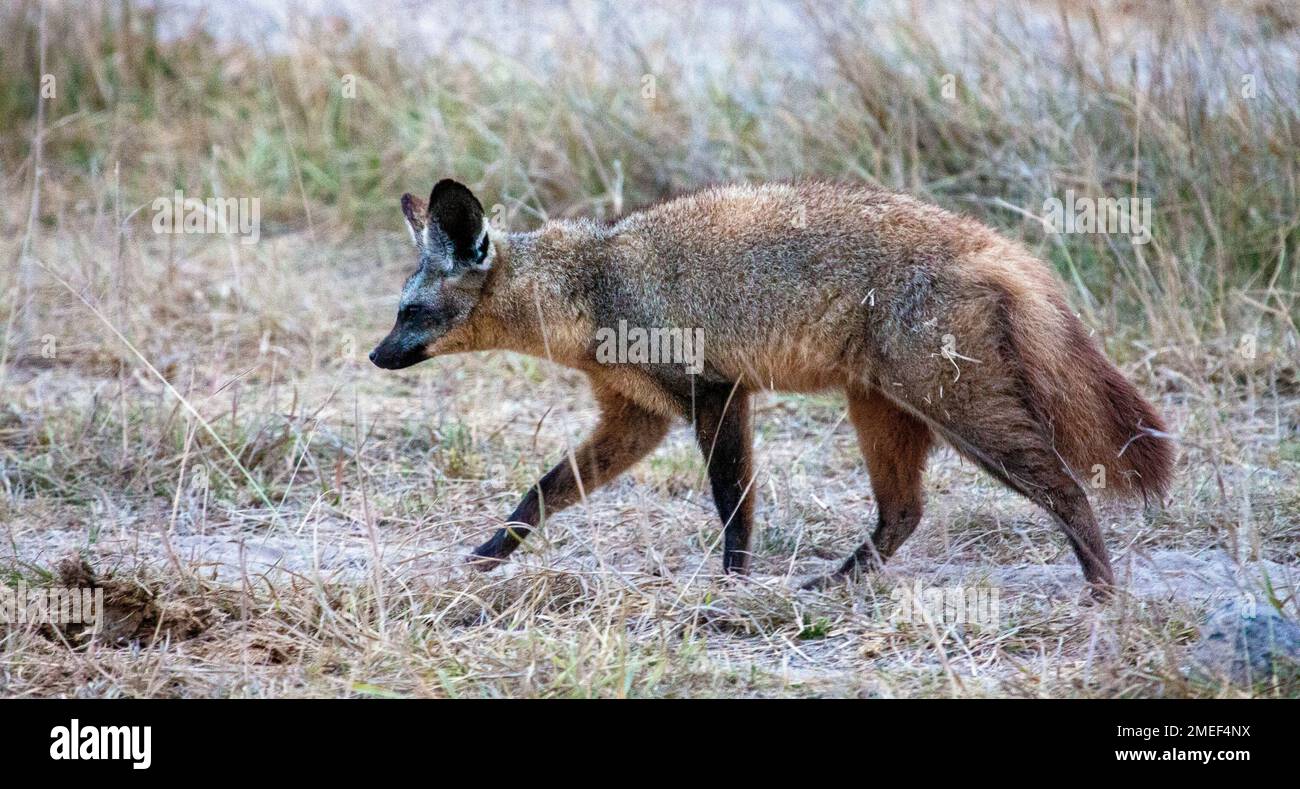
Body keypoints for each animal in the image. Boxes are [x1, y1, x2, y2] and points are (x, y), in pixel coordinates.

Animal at [369, 178, 1174, 595]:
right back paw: (836, 585)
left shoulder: (716, 395)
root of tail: (992, 242)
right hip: (884, 413)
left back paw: (1103, 594)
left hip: (965, 418)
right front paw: (490, 552)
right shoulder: (637, 418)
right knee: (904, 512)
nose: (375, 356)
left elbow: (732, 502)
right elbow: (544, 491)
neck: (592, 280)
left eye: (410, 312)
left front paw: (731, 583)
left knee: (1066, 490)